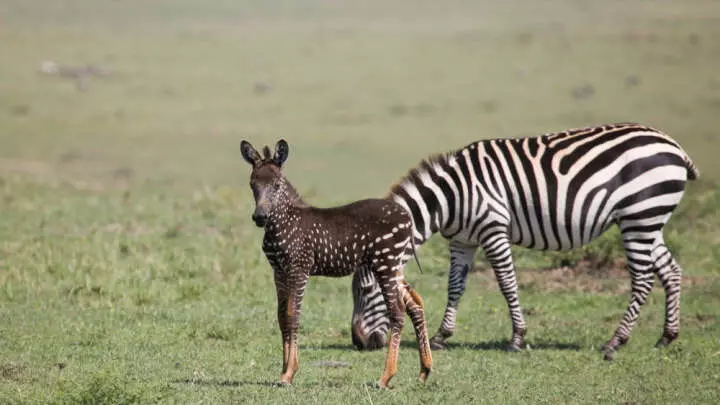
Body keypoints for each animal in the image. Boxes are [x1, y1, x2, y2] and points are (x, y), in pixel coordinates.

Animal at [242, 140, 434, 388]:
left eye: (276, 185)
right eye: (252, 184)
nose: (259, 217)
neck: (282, 222)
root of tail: (408, 218)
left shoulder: (299, 268)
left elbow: (293, 315)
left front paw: (289, 373)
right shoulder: (279, 272)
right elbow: (282, 317)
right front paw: (284, 370)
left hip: (386, 263)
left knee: (397, 312)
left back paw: (386, 377)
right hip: (394, 265)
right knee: (414, 303)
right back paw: (425, 369)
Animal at [352, 121, 700, 358]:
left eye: (366, 291)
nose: (358, 342)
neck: (449, 197)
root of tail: (675, 146)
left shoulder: (493, 229)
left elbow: (507, 283)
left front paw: (517, 338)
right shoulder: (463, 240)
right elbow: (455, 286)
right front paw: (441, 336)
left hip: (640, 216)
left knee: (642, 279)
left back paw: (615, 341)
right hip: (648, 220)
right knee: (671, 271)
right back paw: (666, 337)